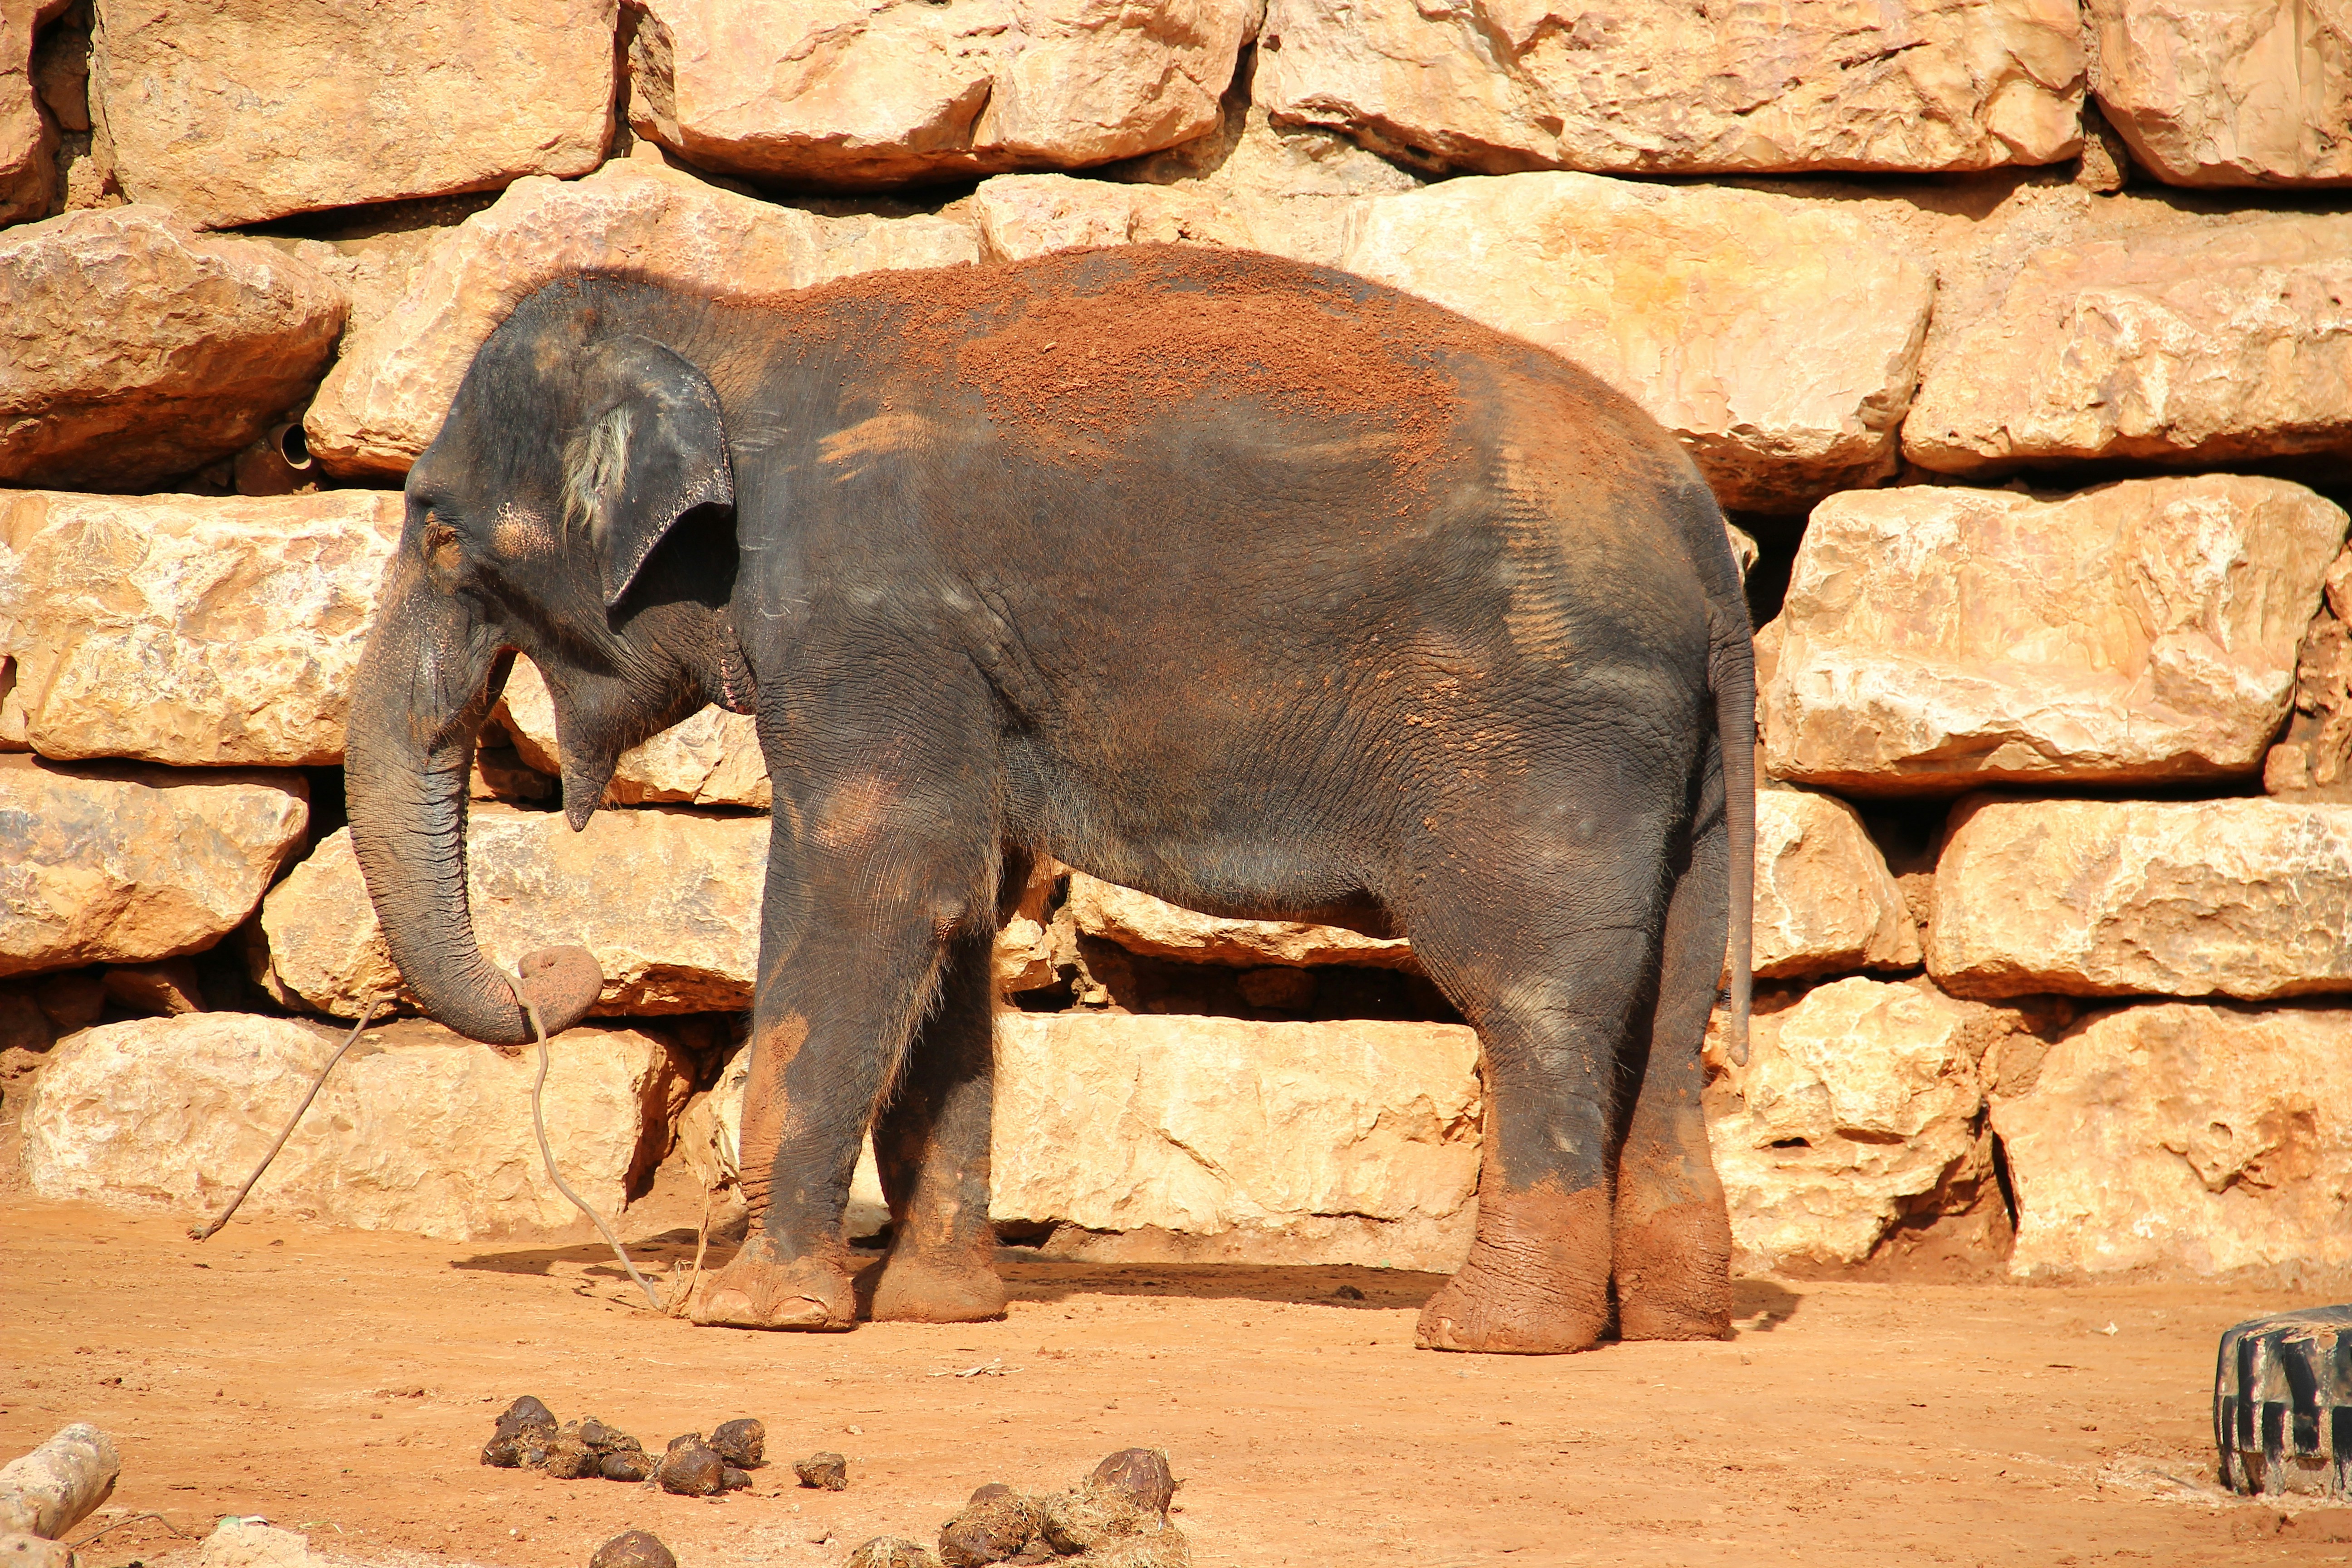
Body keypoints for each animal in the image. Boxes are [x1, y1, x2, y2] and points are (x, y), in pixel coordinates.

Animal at [343, 243, 1756, 1356]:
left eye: (444, 537)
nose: (556, 966)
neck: (737, 320)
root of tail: (1701, 529)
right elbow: (957, 914)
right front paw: (938, 1311)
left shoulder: (862, 620)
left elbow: (875, 887)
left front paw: (749, 1315)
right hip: (1679, 760)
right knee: (1671, 995)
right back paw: (1672, 1326)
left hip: (1539, 728)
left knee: (1529, 992)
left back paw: (1489, 1335)